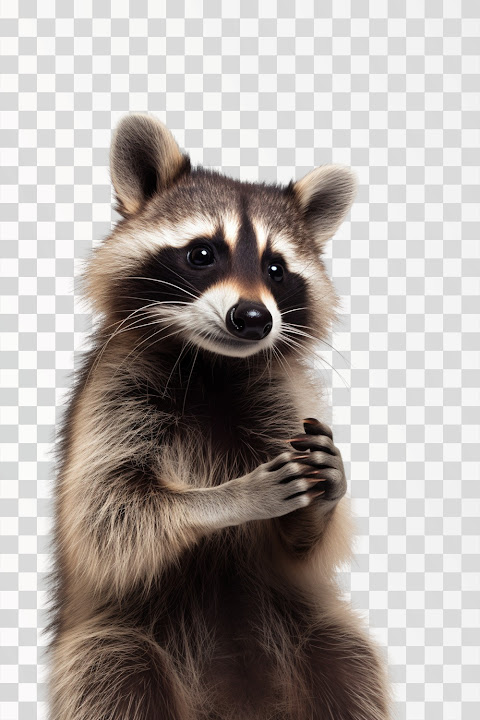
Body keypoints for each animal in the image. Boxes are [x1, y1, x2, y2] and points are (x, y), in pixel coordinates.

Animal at [46, 114, 390, 720]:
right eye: (203, 254)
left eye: (276, 269)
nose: (252, 319)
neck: (214, 366)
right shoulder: (112, 388)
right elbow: (107, 514)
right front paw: (226, 498)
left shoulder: (283, 397)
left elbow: (304, 547)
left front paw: (327, 491)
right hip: (119, 638)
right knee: (112, 672)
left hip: (305, 627)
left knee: (348, 660)